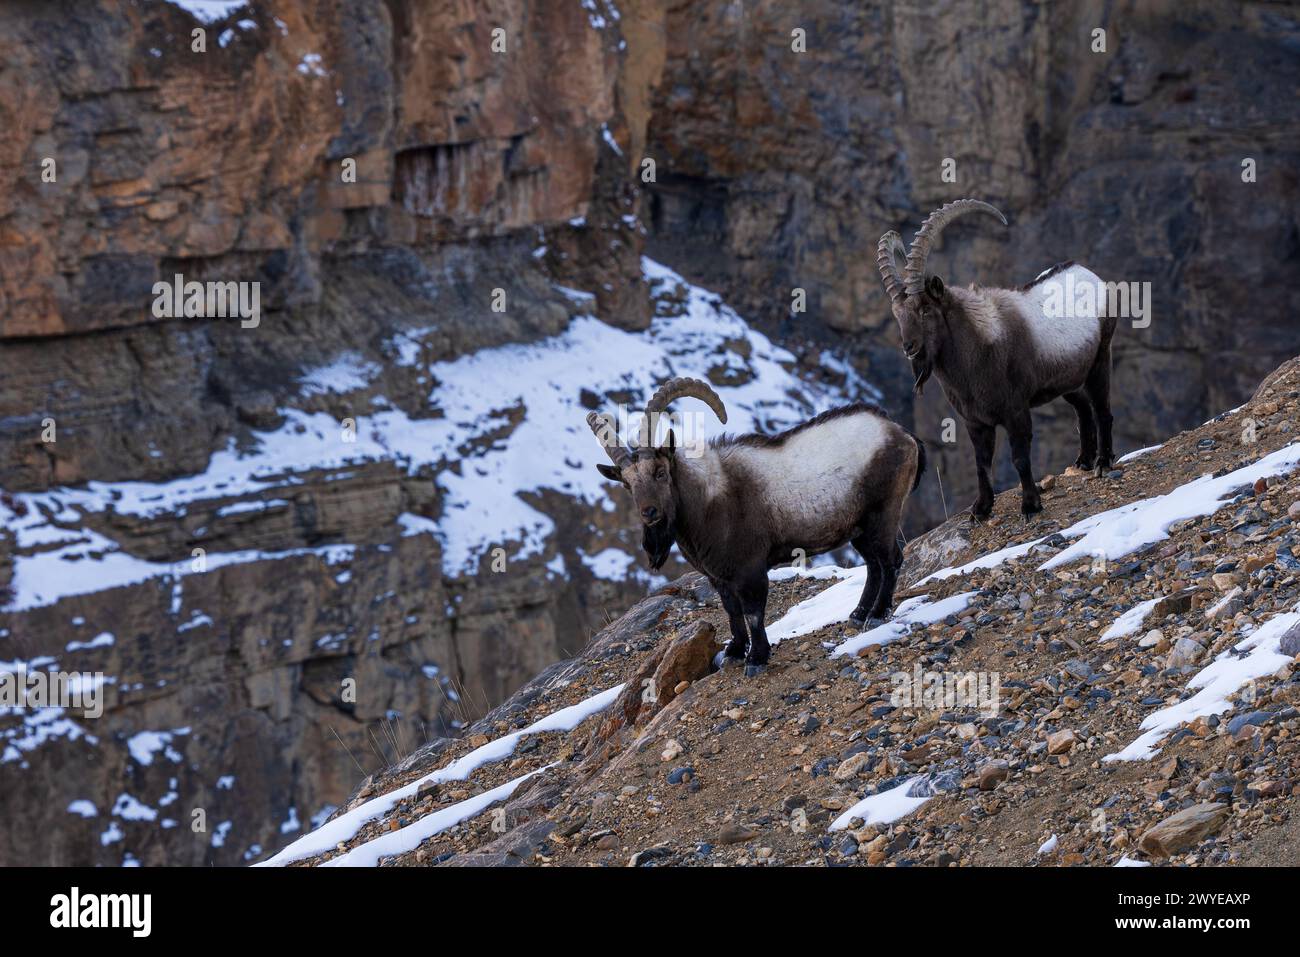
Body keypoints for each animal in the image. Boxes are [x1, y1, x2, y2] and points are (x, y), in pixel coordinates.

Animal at [588, 377, 925, 676]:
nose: (650, 513)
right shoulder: (719, 576)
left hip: (883, 513)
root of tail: (901, 433)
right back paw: (858, 614)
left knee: (890, 560)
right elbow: (731, 611)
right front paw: (735, 652)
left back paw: (877, 615)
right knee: (873, 564)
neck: (710, 496)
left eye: (660, 472)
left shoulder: (750, 567)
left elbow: (752, 612)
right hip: (859, 528)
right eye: (628, 484)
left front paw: (757, 658)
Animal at [876, 199, 1118, 520]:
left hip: (1100, 359)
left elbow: (1019, 458)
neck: (978, 353)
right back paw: (1084, 461)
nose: (909, 347)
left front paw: (1030, 505)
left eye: (926, 309)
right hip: (1068, 380)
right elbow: (982, 462)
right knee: (1082, 409)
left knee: (1102, 410)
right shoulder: (975, 421)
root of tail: (1087, 271)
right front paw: (981, 509)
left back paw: (1103, 462)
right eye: (898, 315)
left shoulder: (1016, 411)